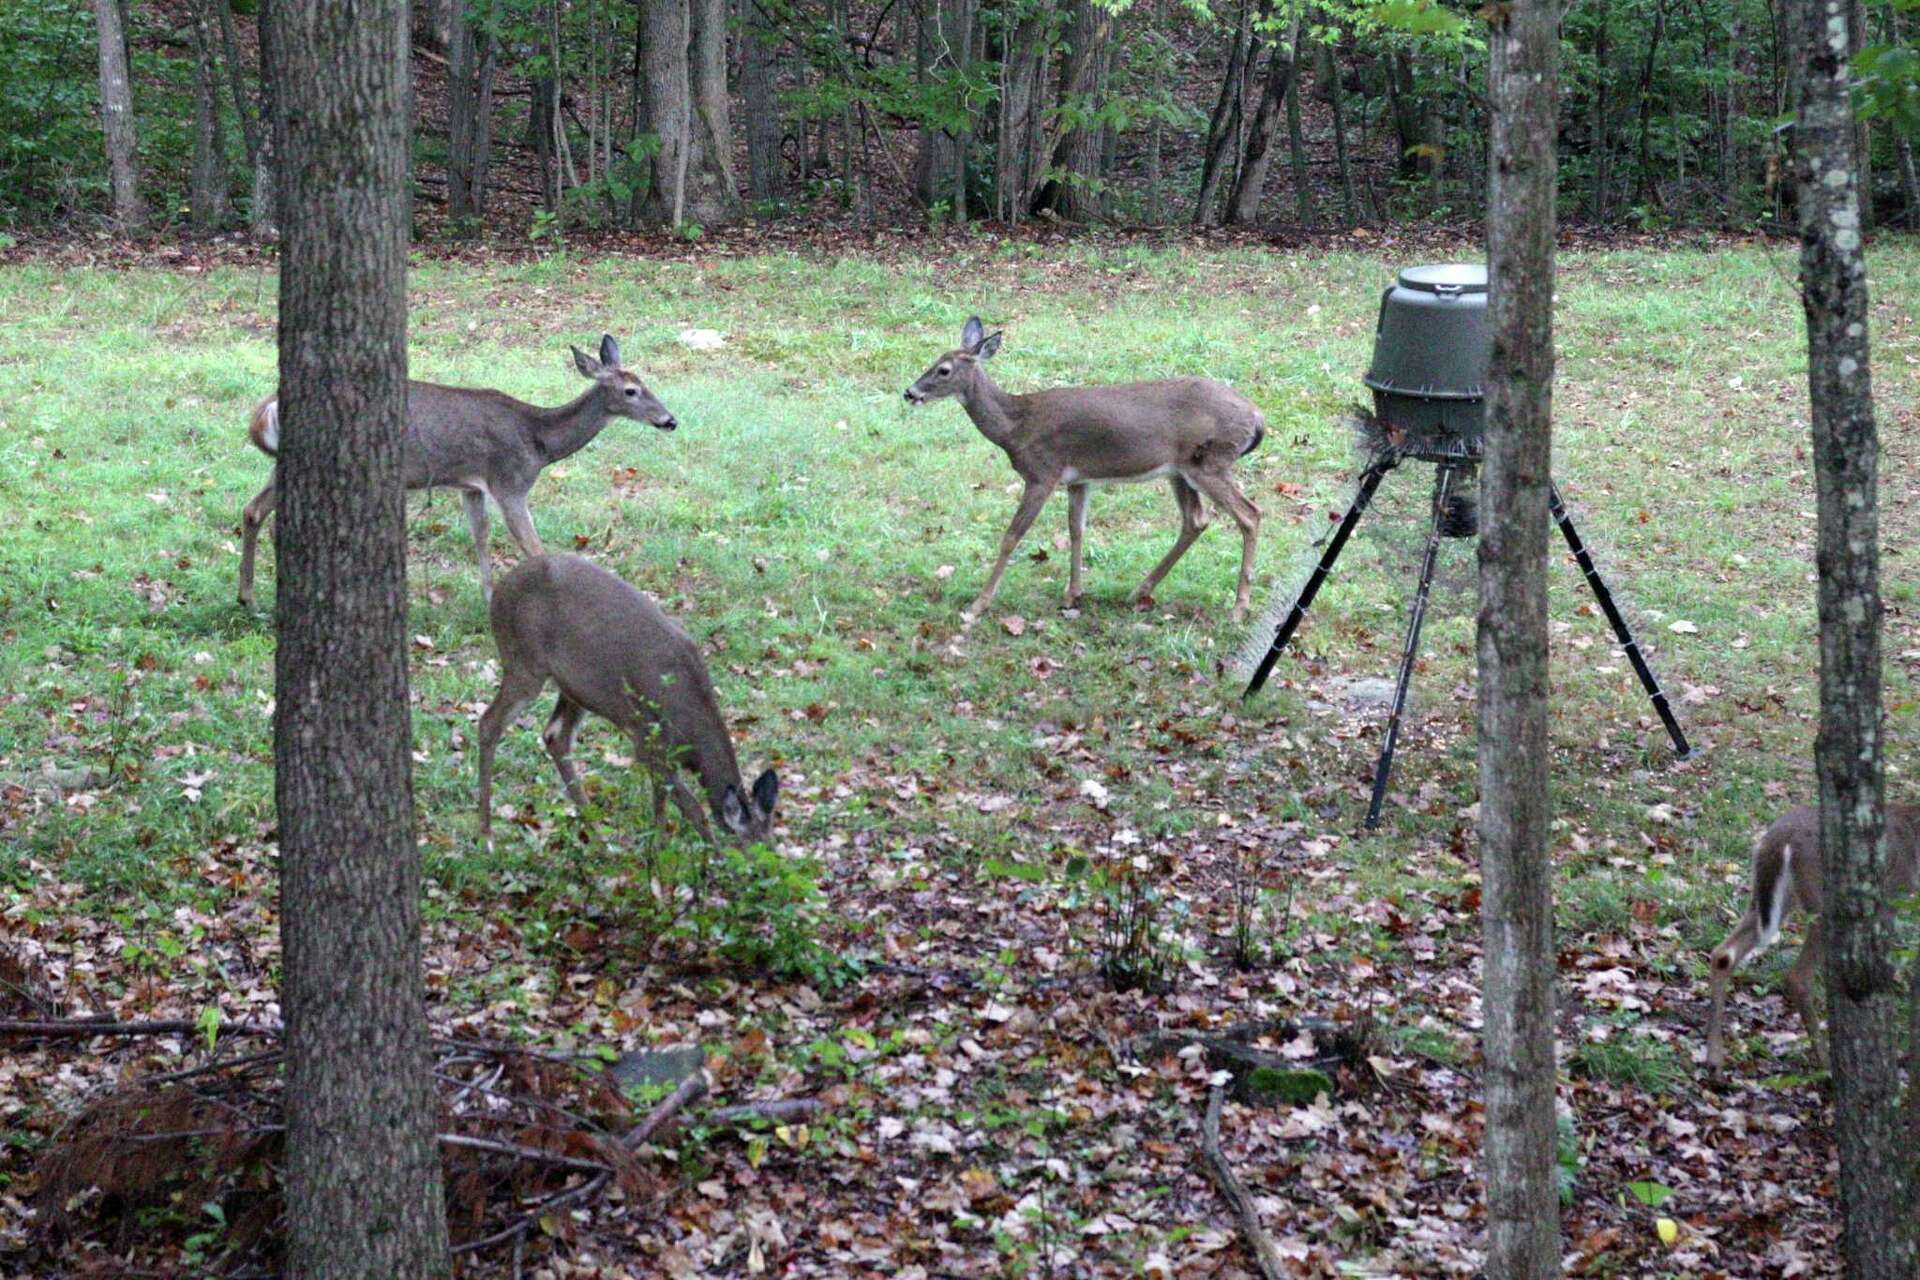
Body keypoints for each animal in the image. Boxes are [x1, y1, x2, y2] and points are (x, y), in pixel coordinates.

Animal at [237, 334, 677, 608]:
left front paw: (488, 598)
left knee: (252, 509)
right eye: (630, 391)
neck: (539, 441)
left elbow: (480, 537)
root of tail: (266, 407)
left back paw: (247, 596)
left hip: (283, 461)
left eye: (647, 382)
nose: (670, 420)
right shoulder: (510, 481)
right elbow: (536, 550)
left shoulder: (471, 485)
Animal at [475, 554, 779, 844]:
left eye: (771, 847)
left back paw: (600, 839)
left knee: (555, 736)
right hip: (523, 661)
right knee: (489, 723)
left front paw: (657, 850)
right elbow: (693, 809)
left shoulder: (658, 751)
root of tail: (500, 588)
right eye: (751, 850)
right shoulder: (647, 741)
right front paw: (702, 855)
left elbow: (661, 807)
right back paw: (487, 837)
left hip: (576, 687)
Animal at [902, 316, 1267, 625]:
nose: (909, 392)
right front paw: (1072, 594)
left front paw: (978, 604)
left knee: (1250, 514)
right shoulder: (1079, 479)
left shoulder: (1042, 473)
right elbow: (1076, 529)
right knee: (1196, 520)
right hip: (1181, 470)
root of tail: (1256, 416)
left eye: (944, 370)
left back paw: (1238, 608)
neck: (1016, 427)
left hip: (1211, 461)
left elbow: (1012, 536)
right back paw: (1140, 590)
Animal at [1705, 803, 1920, 1070]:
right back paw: (1825, 1063)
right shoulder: (1892, 898)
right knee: (1797, 976)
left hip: (1772, 894)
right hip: (1823, 901)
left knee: (1723, 953)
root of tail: (1781, 835)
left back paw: (1714, 1058)